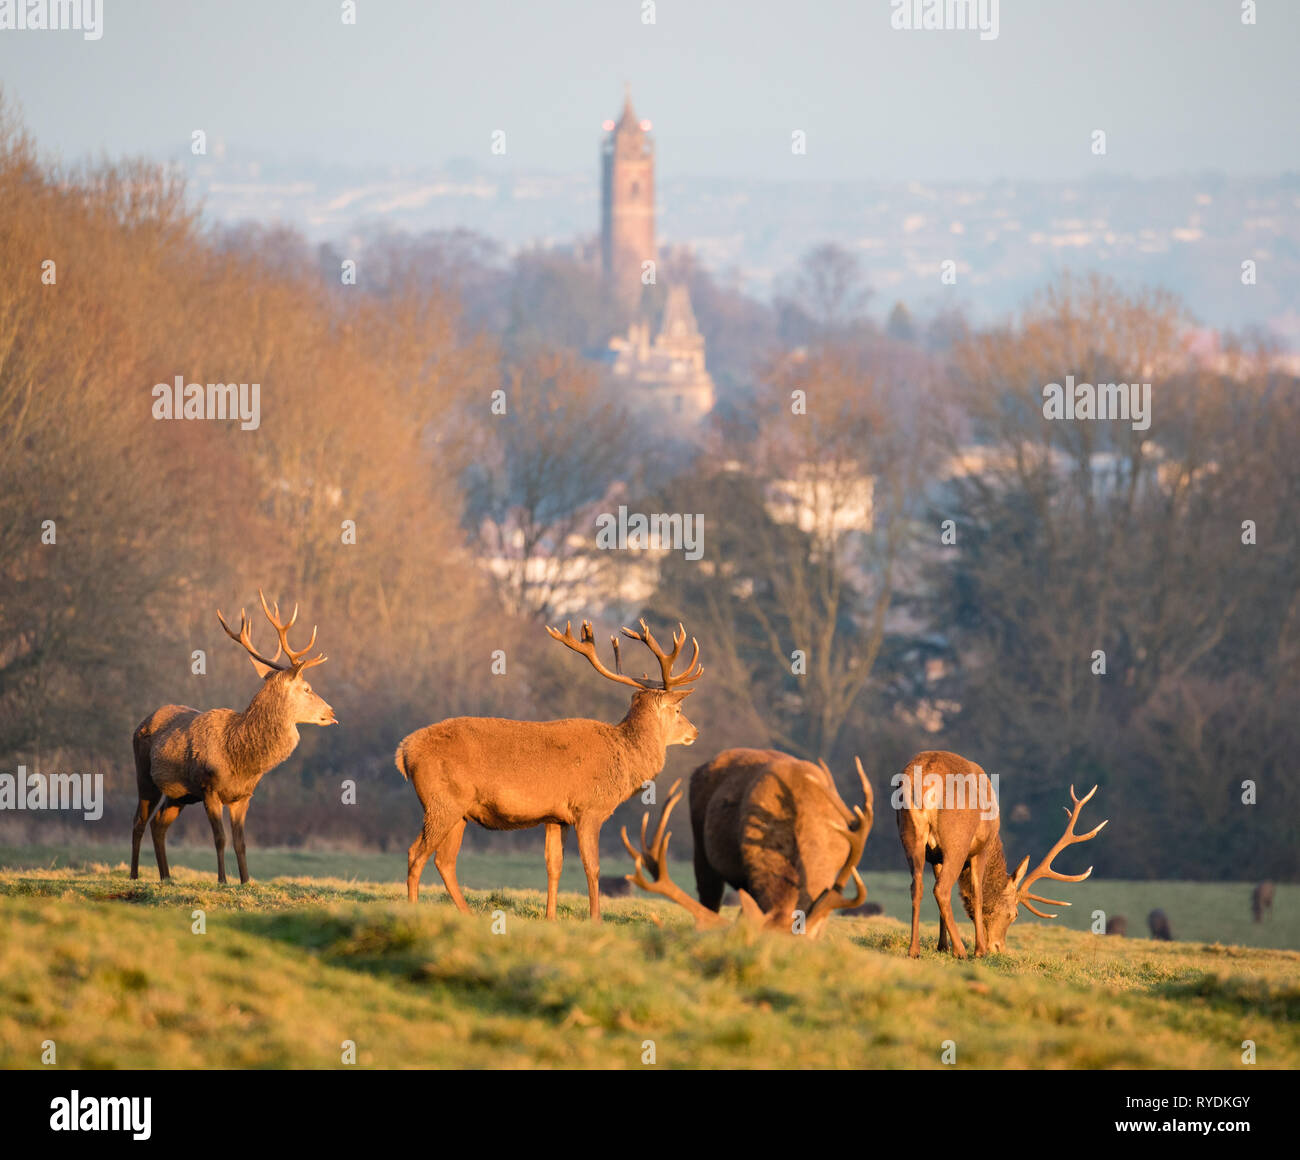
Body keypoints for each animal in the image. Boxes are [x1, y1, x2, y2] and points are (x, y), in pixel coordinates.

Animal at [130, 591, 334, 884]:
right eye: (307, 688)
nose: (331, 711)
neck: (240, 758)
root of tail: (141, 724)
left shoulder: (243, 796)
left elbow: (241, 842)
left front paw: (246, 881)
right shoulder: (209, 788)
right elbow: (220, 838)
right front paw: (222, 880)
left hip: (180, 795)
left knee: (158, 824)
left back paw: (166, 877)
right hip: (145, 777)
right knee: (139, 822)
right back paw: (135, 875)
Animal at [396, 618, 702, 921]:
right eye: (678, 710)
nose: (695, 732)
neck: (624, 757)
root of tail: (404, 751)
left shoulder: (556, 817)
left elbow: (554, 866)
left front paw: (550, 917)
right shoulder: (588, 809)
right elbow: (592, 867)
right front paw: (595, 919)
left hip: (459, 811)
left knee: (444, 860)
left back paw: (468, 914)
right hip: (442, 802)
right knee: (416, 854)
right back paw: (413, 909)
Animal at [896, 750, 1107, 958]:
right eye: (1014, 914)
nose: (998, 947)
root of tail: (924, 780)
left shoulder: (936, 858)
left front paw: (943, 947)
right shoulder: (981, 849)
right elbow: (977, 895)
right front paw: (979, 950)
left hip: (910, 836)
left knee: (917, 886)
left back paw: (914, 950)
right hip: (957, 841)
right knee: (942, 889)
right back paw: (962, 951)